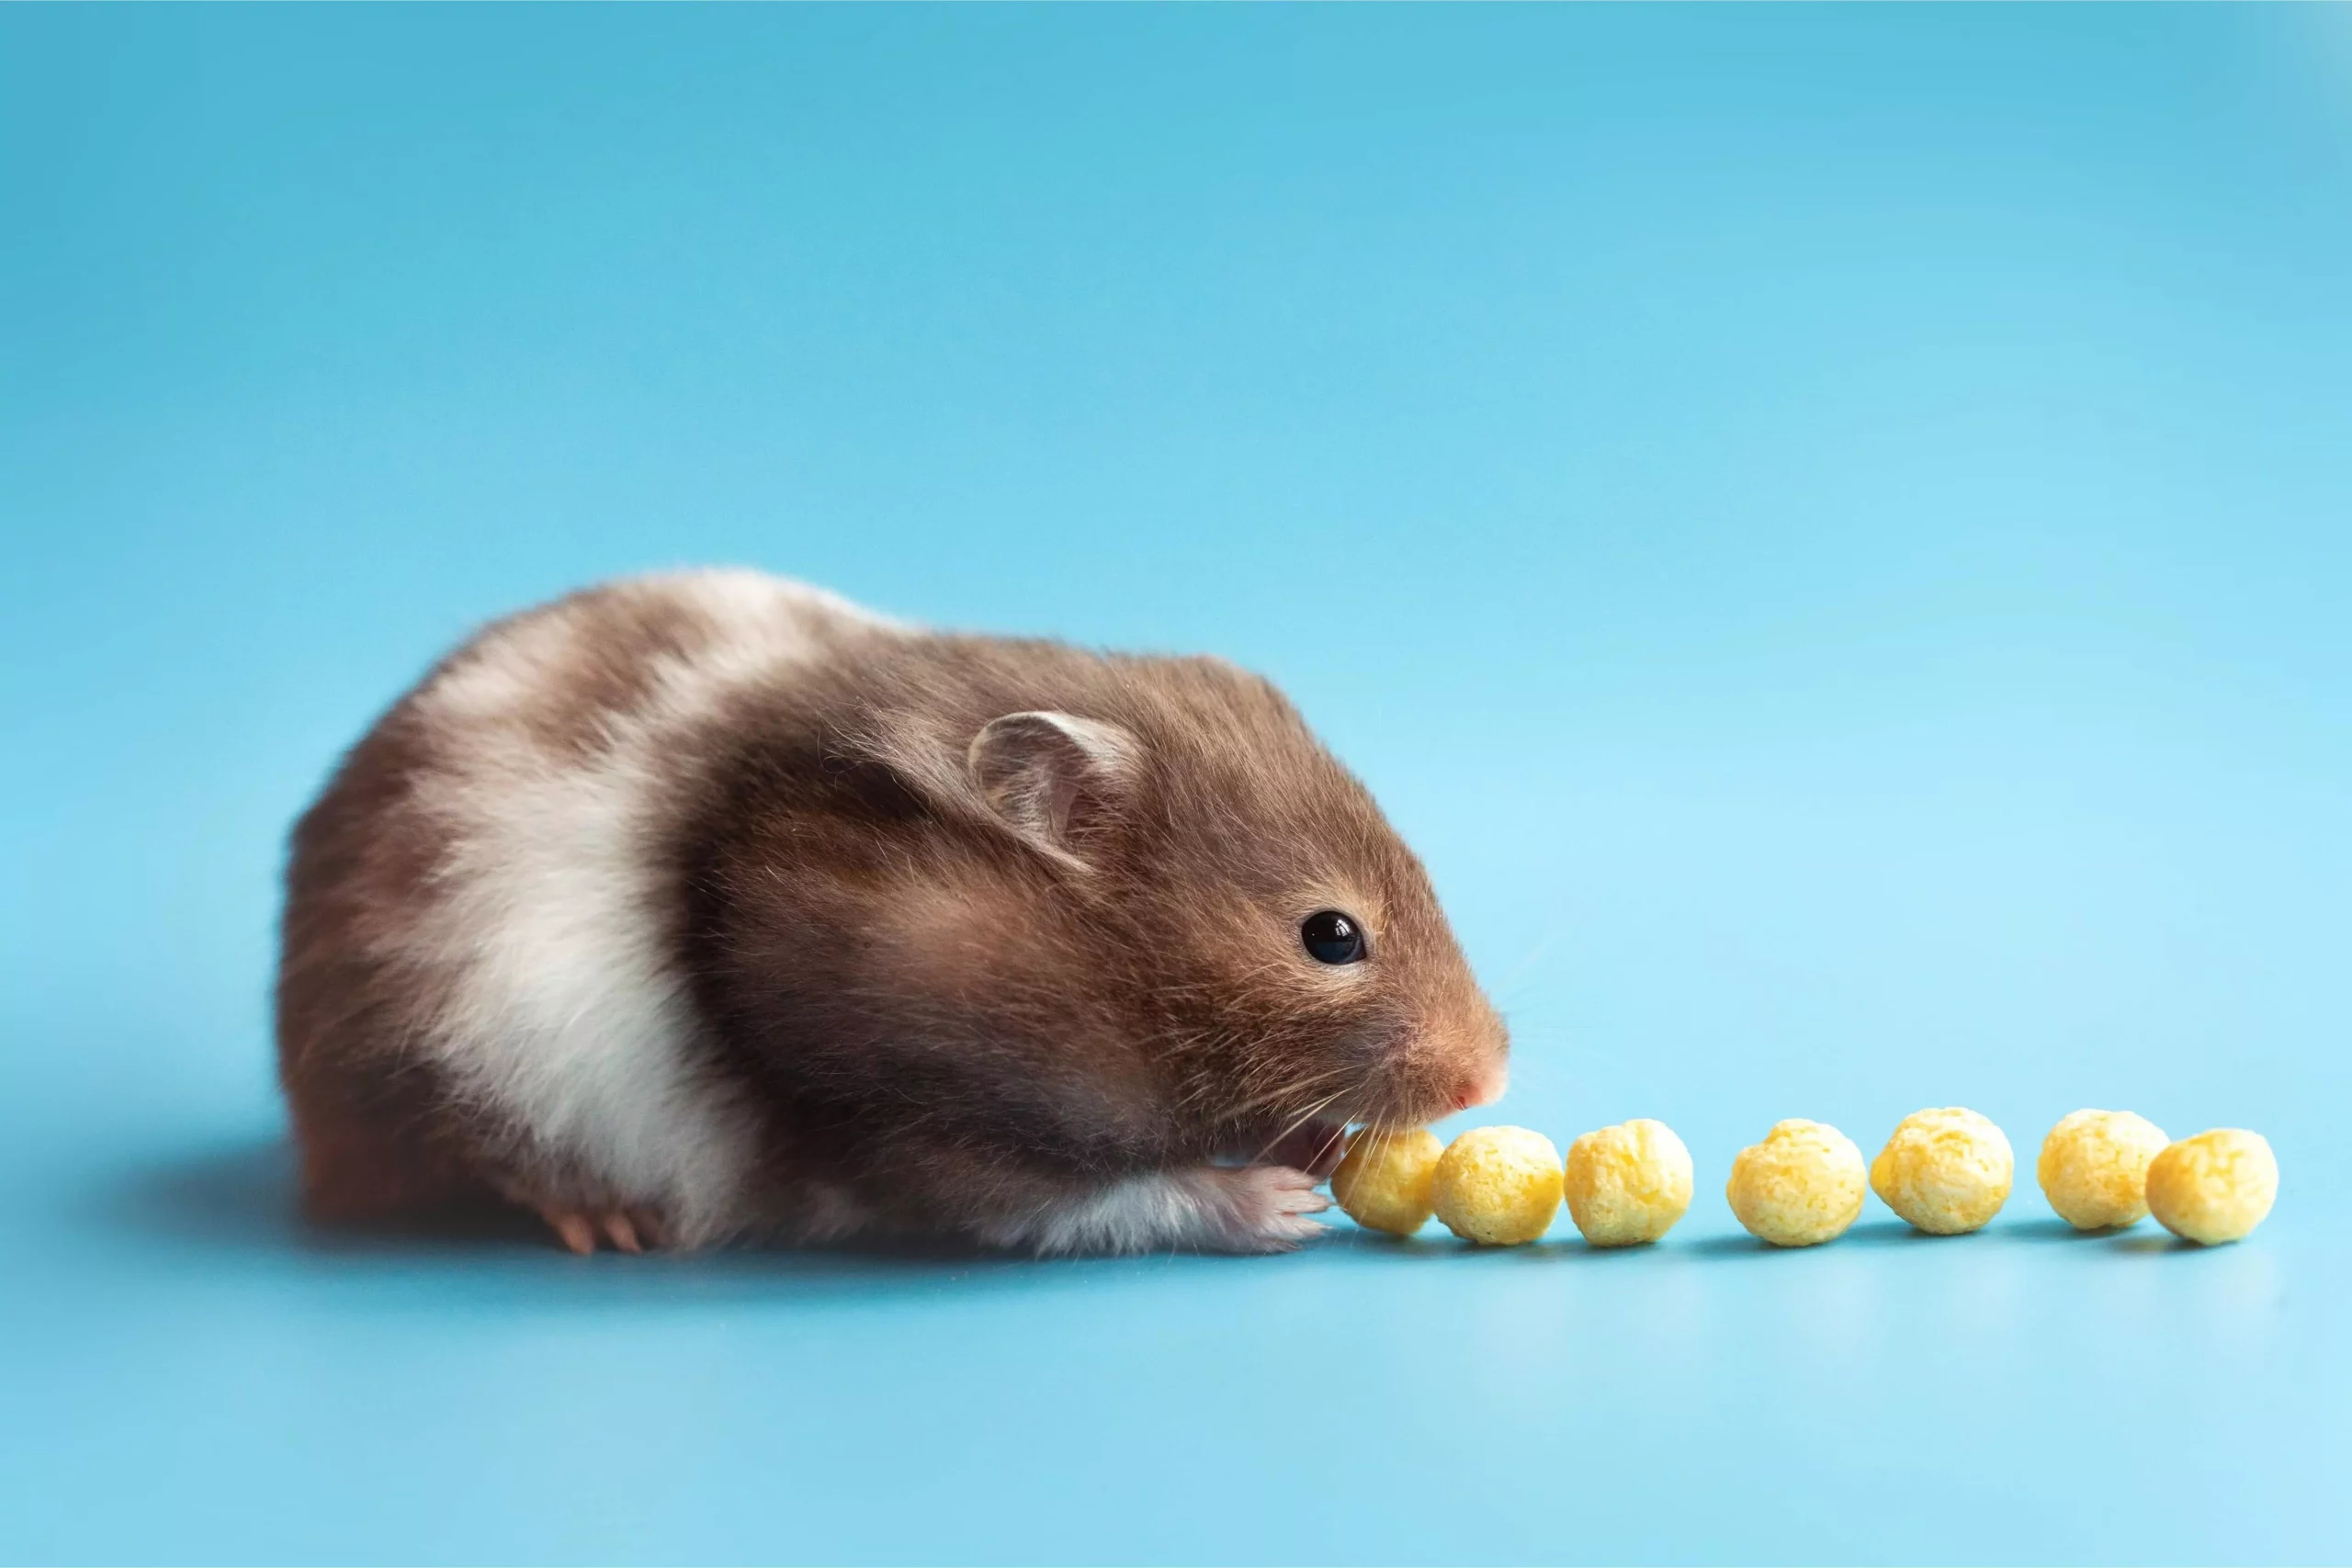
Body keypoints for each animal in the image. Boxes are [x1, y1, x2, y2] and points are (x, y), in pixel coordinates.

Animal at [275, 570, 1509, 1255]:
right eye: (1331, 936)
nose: (1490, 1078)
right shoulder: (902, 1124)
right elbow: (1095, 1200)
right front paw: (1280, 1207)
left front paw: (1313, 1145)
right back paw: (606, 1224)